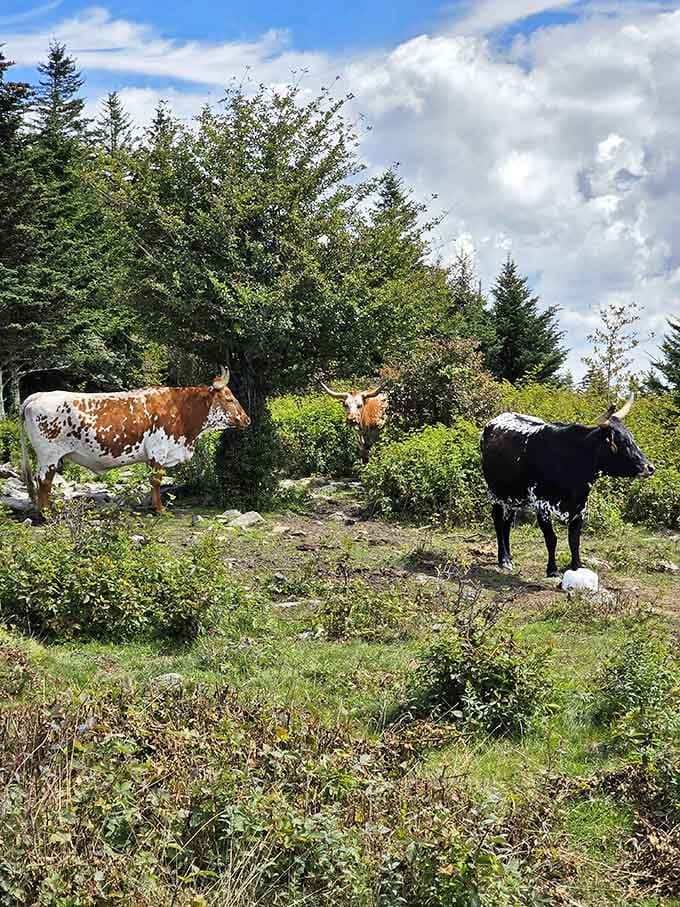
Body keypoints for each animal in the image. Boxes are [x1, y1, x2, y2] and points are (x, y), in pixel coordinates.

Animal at [20, 368, 250, 514]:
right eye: (229, 398)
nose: (247, 419)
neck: (180, 410)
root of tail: (37, 396)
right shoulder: (159, 451)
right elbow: (156, 480)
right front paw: (160, 509)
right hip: (48, 455)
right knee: (44, 481)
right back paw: (46, 513)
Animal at [481, 395, 654, 577]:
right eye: (620, 443)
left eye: (632, 439)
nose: (650, 468)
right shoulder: (542, 506)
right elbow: (551, 539)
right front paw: (552, 570)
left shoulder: (580, 508)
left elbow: (574, 540)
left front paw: (577, 566)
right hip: (495, 493)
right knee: (498, 522)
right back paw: (503, 559)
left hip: (513, 496)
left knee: (507, 524)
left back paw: (509, 557)